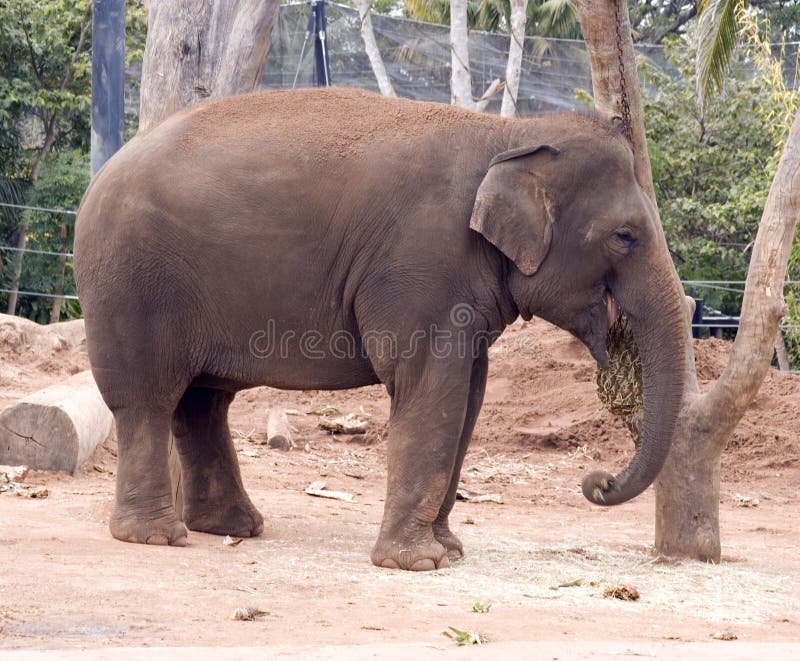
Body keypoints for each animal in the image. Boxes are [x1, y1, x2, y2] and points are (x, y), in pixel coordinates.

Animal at [74, 87, 687, 571]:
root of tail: (102, 172)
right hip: (131, 285)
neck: (511, 132)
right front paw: (419, 564)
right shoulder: (421, 264)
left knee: (202, 402)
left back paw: (233, 528)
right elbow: (429, 385)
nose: (598, 481)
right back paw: (156, 537)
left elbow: (469, 393)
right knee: (148, 399)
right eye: (626, 237)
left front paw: (450, 550)